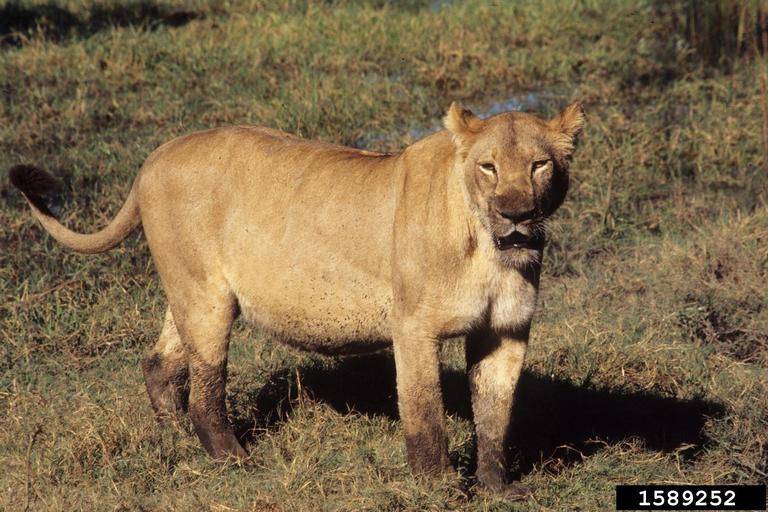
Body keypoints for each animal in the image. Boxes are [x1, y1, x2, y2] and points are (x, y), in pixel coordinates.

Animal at [10, 101, 584, 495]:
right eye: (488, 167)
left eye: (539, 165)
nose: (516, 214)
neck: (489, 249)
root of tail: (156, 156)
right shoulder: (414, 327)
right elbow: (425, 411)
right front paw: (438, 485)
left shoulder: (506, 330)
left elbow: (495, 412)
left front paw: (496, 486)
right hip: (208, 300)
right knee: (204, 390)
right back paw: (234, 459)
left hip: (190, 293)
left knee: (158, 362)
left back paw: (173, 438)